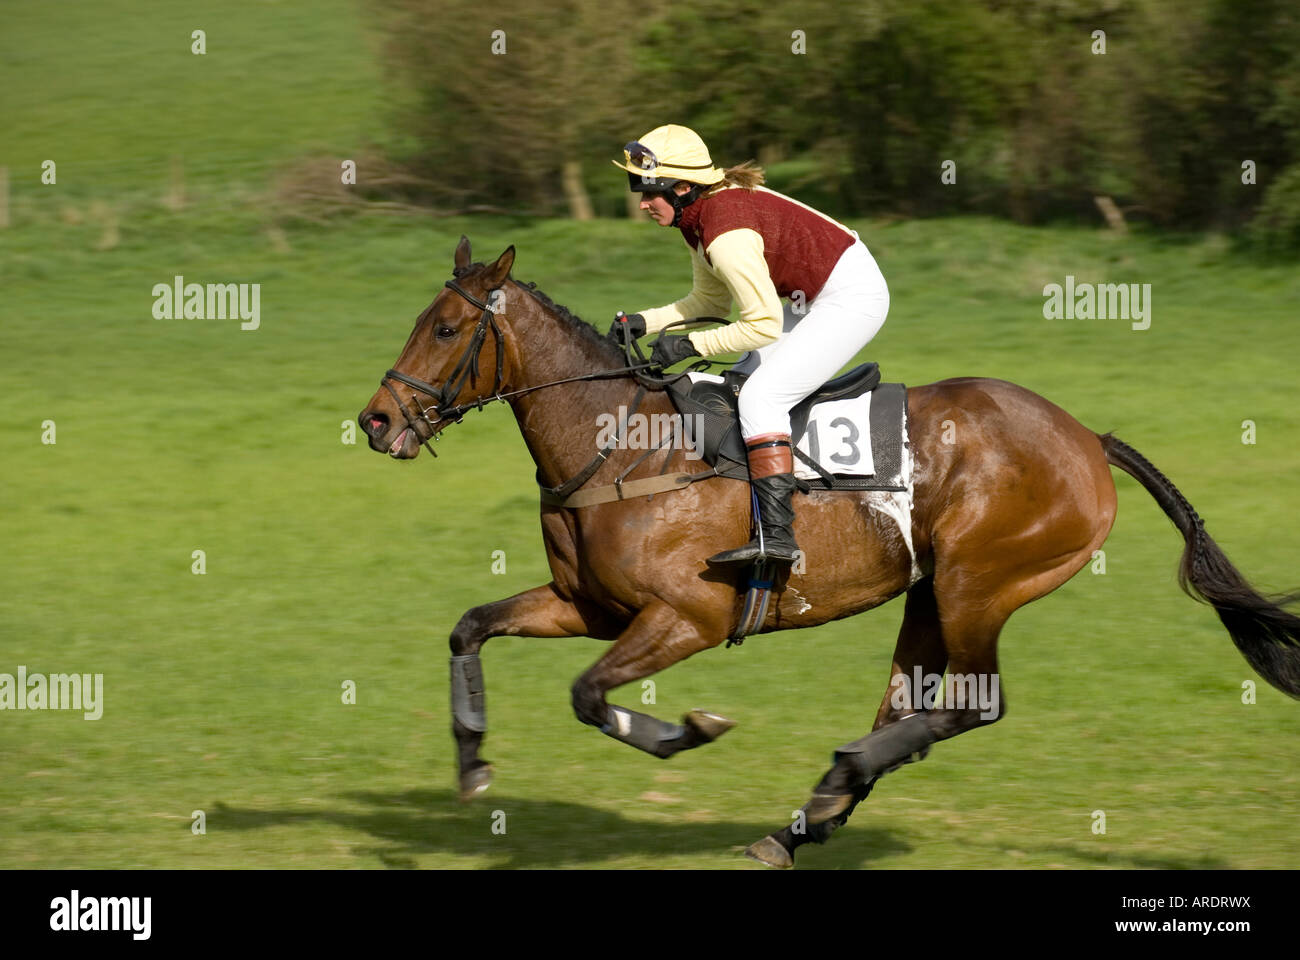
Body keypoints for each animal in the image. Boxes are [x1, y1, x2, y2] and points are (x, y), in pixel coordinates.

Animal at [358, 237, 1300, 868]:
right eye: (420, 321)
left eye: (446, 328)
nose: (375, 420)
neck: (621, 445)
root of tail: (1087, 439)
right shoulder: (588, 606)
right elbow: (470, 625)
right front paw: (473, 764)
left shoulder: (688, 616)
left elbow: (591, 696)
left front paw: (686, 730)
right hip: (930, 593)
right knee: (910, 706)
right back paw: (805, 819)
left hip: (980, 582)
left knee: (972, 705)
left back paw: (835, 780)